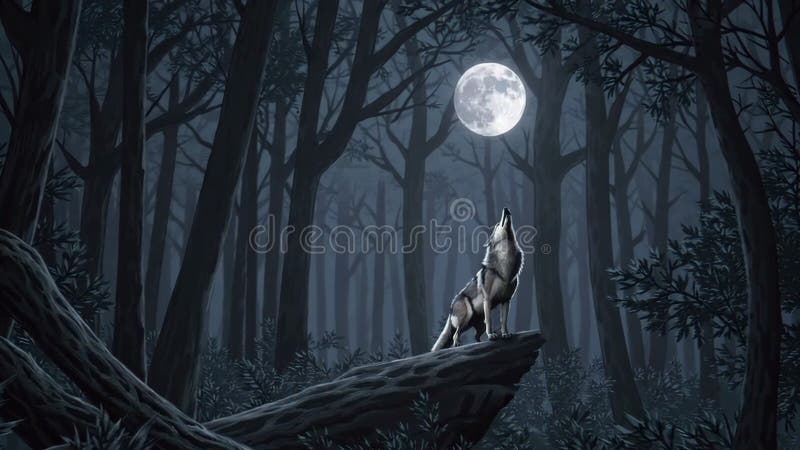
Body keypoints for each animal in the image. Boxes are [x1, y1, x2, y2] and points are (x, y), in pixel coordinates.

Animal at [431, 207, 524, 351]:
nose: (506, 209)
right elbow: (490, 322)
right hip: (467, 317)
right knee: (455, 334)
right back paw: (458, 345)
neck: (505, 264)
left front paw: (505, 334)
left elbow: (503, 321)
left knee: (475, 337)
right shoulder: (488, 299)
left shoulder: (506, 300)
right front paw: (491, 335)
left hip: (475, 324)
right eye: (498, 224)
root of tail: (451, 307)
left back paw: (478, 344)